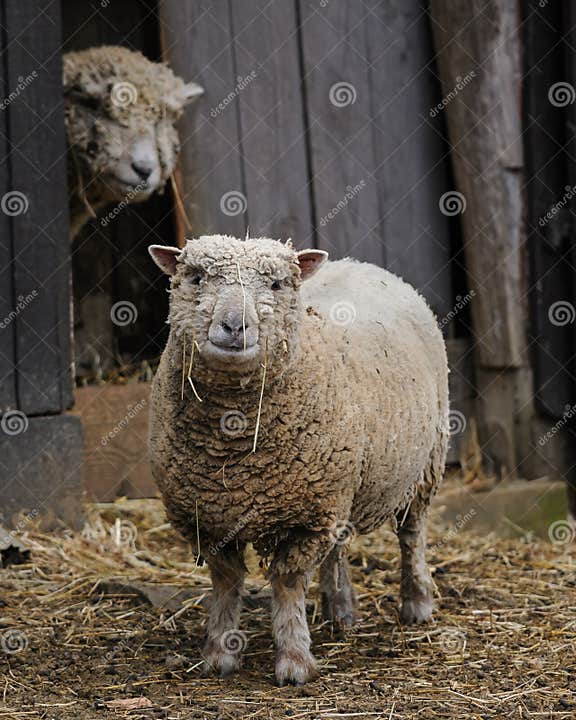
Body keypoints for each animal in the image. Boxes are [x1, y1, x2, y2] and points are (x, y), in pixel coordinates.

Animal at [148, 235, 449, 686]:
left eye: (275, 285)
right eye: (197, 278)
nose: (234, 326)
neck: (233, 450)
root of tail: (358, 262)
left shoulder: (308, 517)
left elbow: (288, 582)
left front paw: (293, 660)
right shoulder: (205, 515)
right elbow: (226, 580)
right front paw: (220, 651)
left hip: (426, 463)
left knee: (411, 534)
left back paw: (416, 602)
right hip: (343, 483)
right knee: (340, 544)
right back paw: (340, 609)